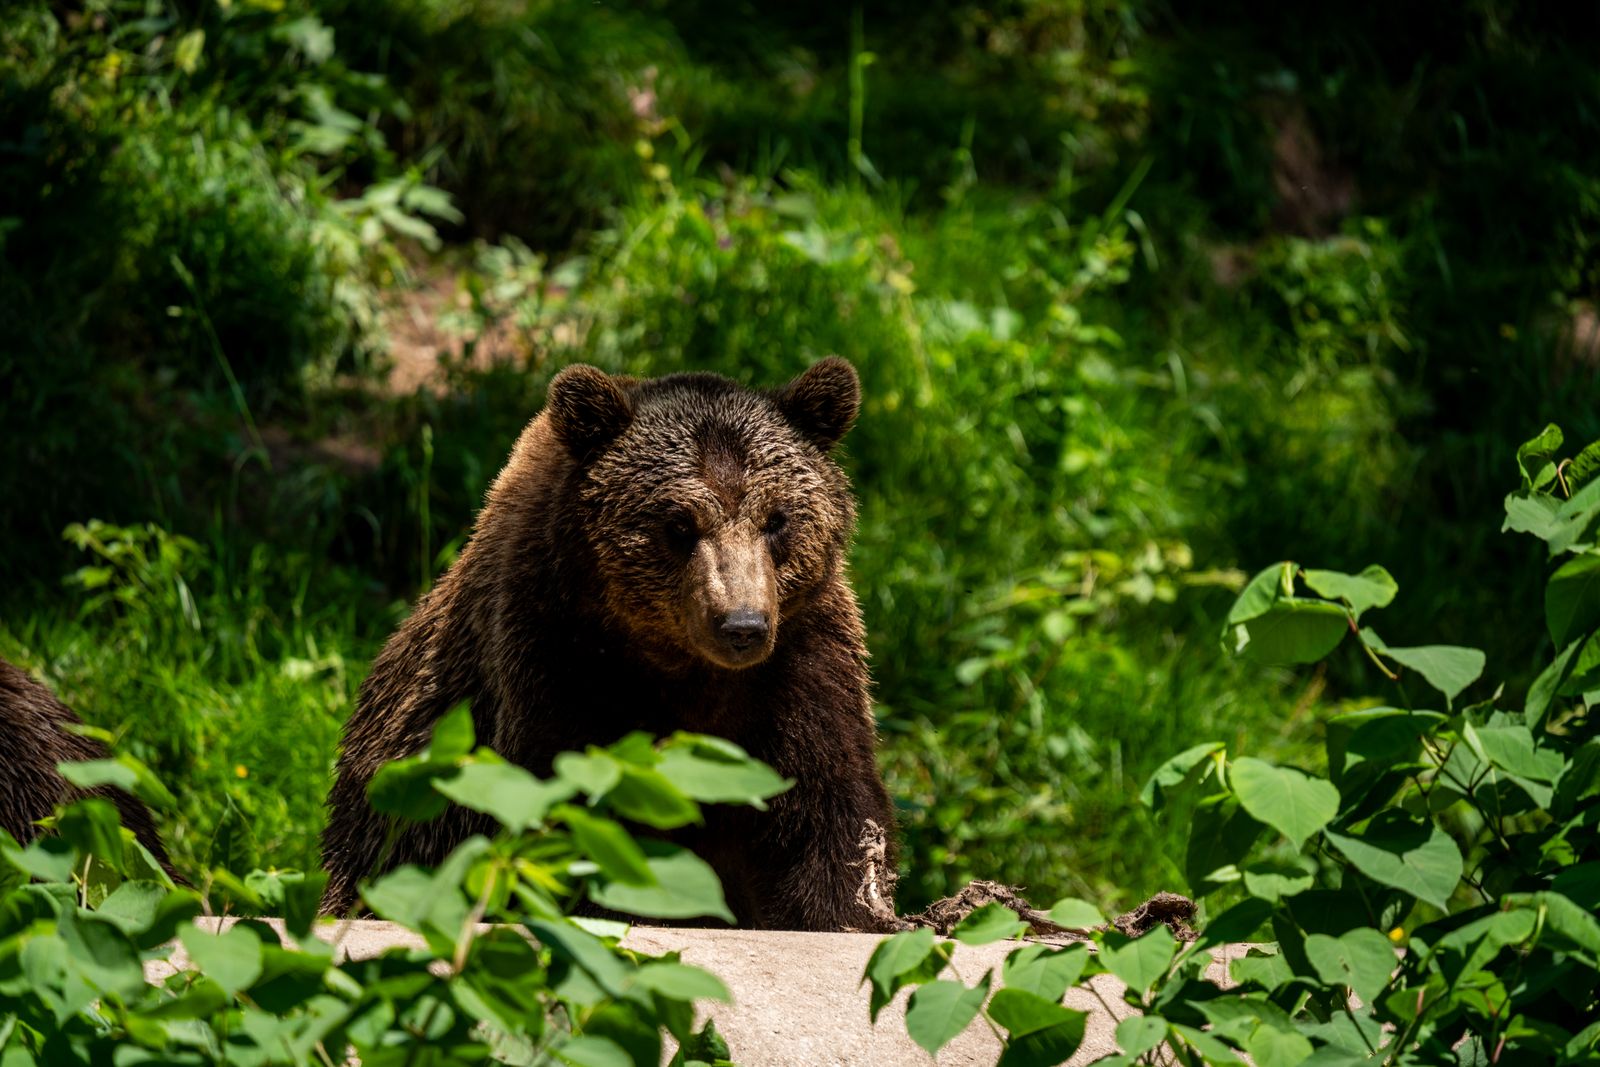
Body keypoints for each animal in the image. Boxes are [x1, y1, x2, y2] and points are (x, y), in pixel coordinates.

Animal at [319, 357, 898, 930]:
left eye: (776, 519)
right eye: (679, 523)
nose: (742, 626)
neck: (679, 666)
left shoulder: (800, 668)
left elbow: (826, 818)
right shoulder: (558, 659)